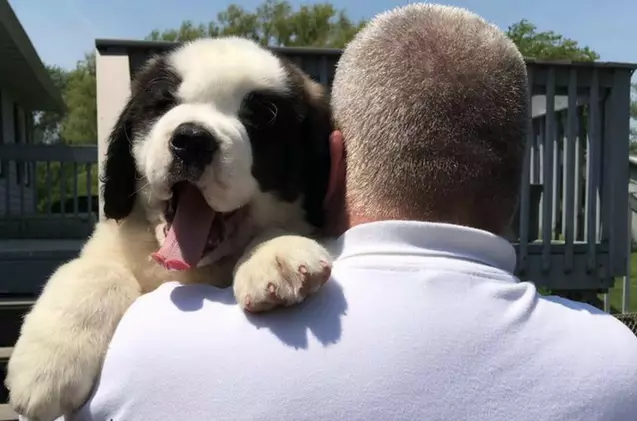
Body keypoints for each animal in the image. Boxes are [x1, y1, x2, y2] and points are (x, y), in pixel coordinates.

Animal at [8, 37, 332, 420]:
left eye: (263, 116)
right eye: (164, 105)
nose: (192, 139)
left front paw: (277, 254)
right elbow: (94, 270)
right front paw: (45, 370)